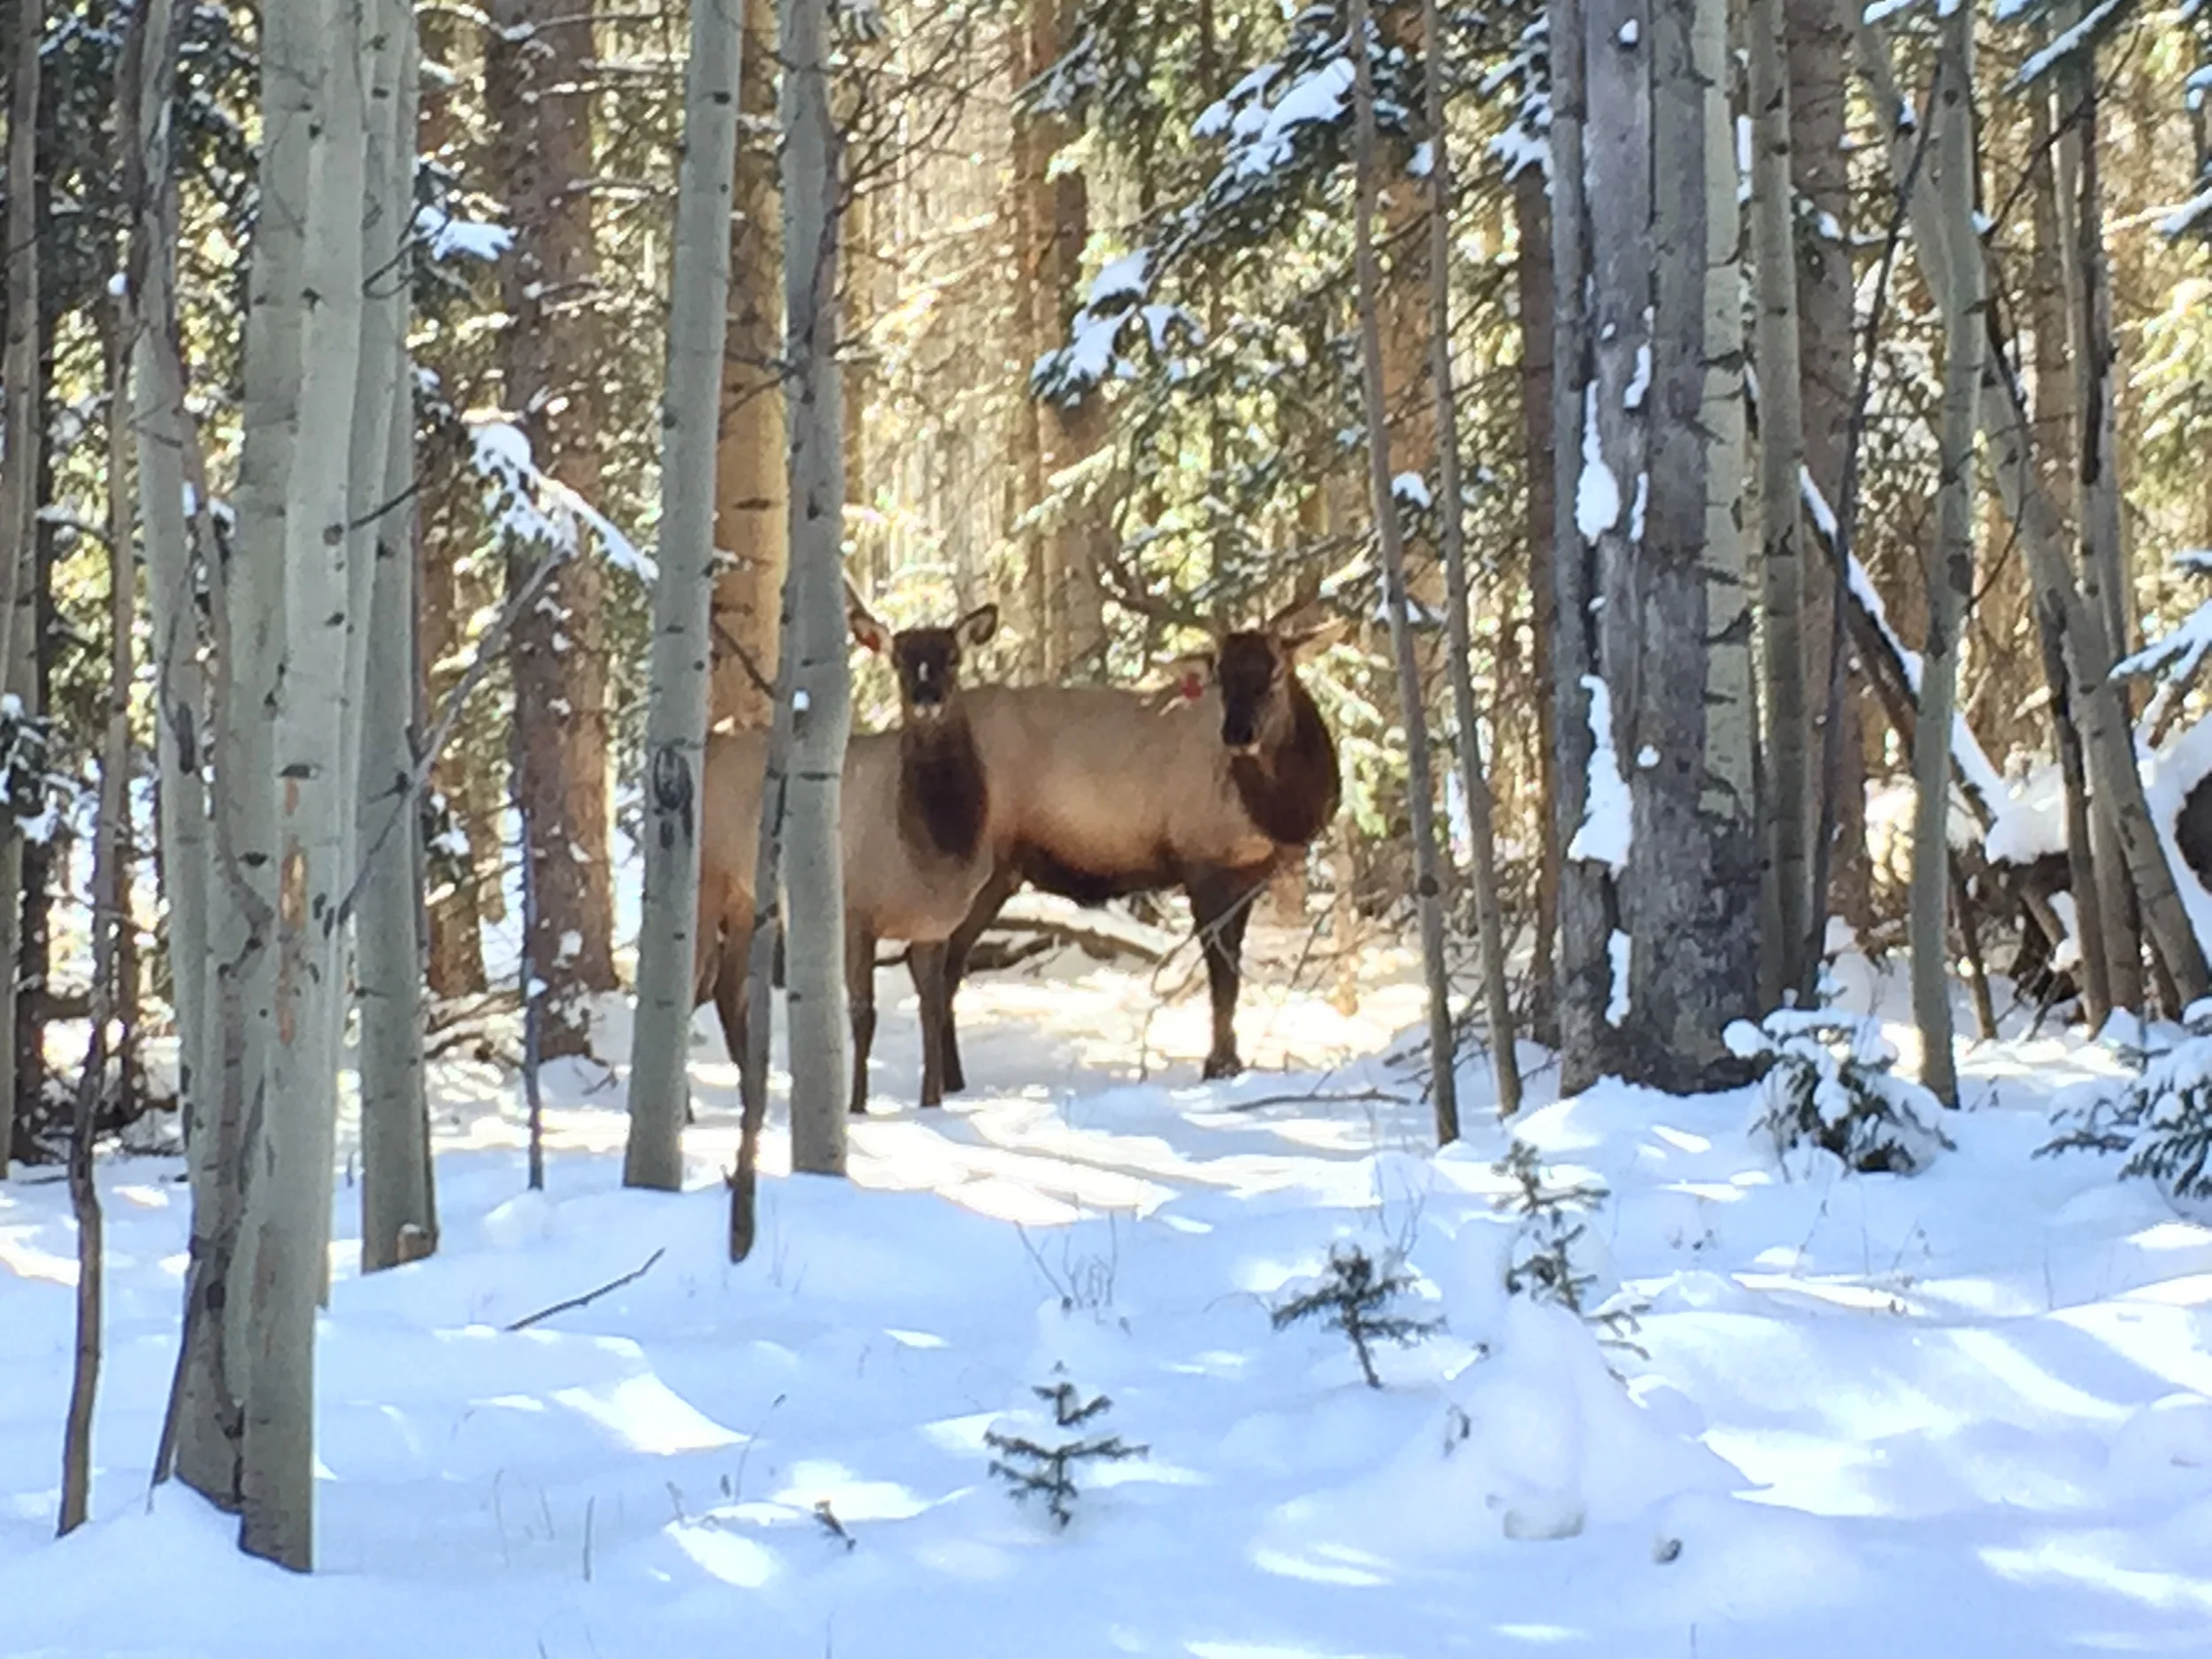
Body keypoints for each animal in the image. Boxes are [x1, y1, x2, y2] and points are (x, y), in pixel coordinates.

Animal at [692, 594, 1000, 1116]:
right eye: (899, 662)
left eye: (953, 658)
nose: (927, 699)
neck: (932, 854)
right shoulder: (856, 907)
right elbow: (862, 1012)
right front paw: (856, 1106)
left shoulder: (933, 927)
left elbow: (932, 1009)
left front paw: (932, 1101)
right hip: (706, 879)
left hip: (745, 894)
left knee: (727, 989)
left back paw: (752, 1096)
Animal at [911, 605, 1342, 1092]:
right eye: (1220, 676)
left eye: (1275, 672)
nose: (1237, 733)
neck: (1280, 808)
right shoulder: (1201, 864)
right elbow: (1221, 976)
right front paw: (1218, 1064)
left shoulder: (1251, 873)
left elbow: (1232, 970)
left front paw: (1232, 1062)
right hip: (978, 868)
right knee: (935, 964)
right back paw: (947, 1079)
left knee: (944, 968)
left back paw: (952, 1079)